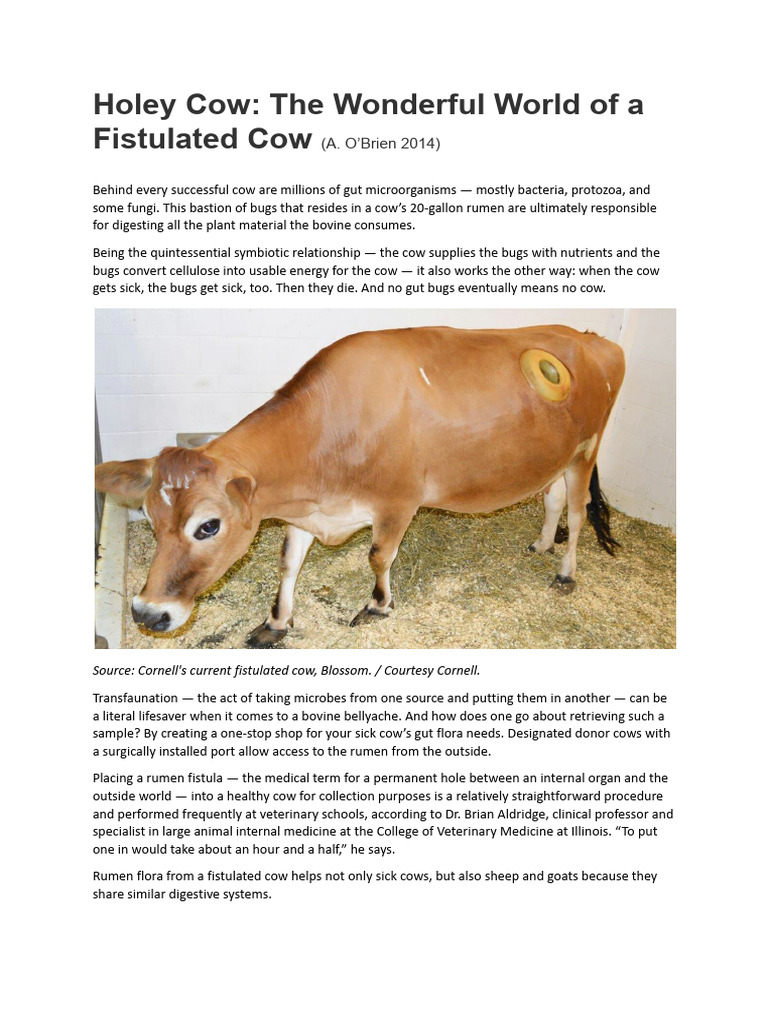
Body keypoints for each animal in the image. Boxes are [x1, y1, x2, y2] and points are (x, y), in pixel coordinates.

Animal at [95, 325, 625, 647]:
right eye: (150, 516)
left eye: (208, 527)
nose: (145, 614)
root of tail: (592, 337)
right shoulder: (306, 510)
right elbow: (288, 563)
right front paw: (275, 622)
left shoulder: (397, 502)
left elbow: (378, 555)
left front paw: (377, 606)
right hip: (556, 456)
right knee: (553, 498)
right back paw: (541, 543)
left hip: (587, 450)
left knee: (577, 511)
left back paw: (565, 572)